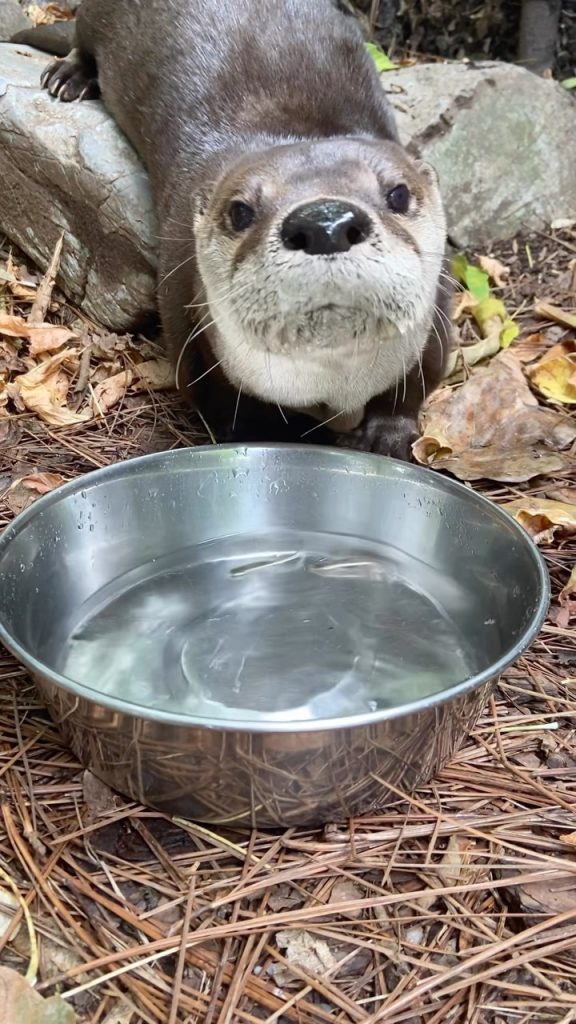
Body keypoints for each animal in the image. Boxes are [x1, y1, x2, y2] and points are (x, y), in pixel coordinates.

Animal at [22, 0, 451, 458]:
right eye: (240, 211)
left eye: (399, 194)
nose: (325, 224)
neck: (333, 388)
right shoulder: (193, 340)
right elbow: (234, 411)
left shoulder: (436, 327)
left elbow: (412, 389)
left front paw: (386, 436)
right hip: (98, 14)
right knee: (83, 43)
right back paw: (69, 77)